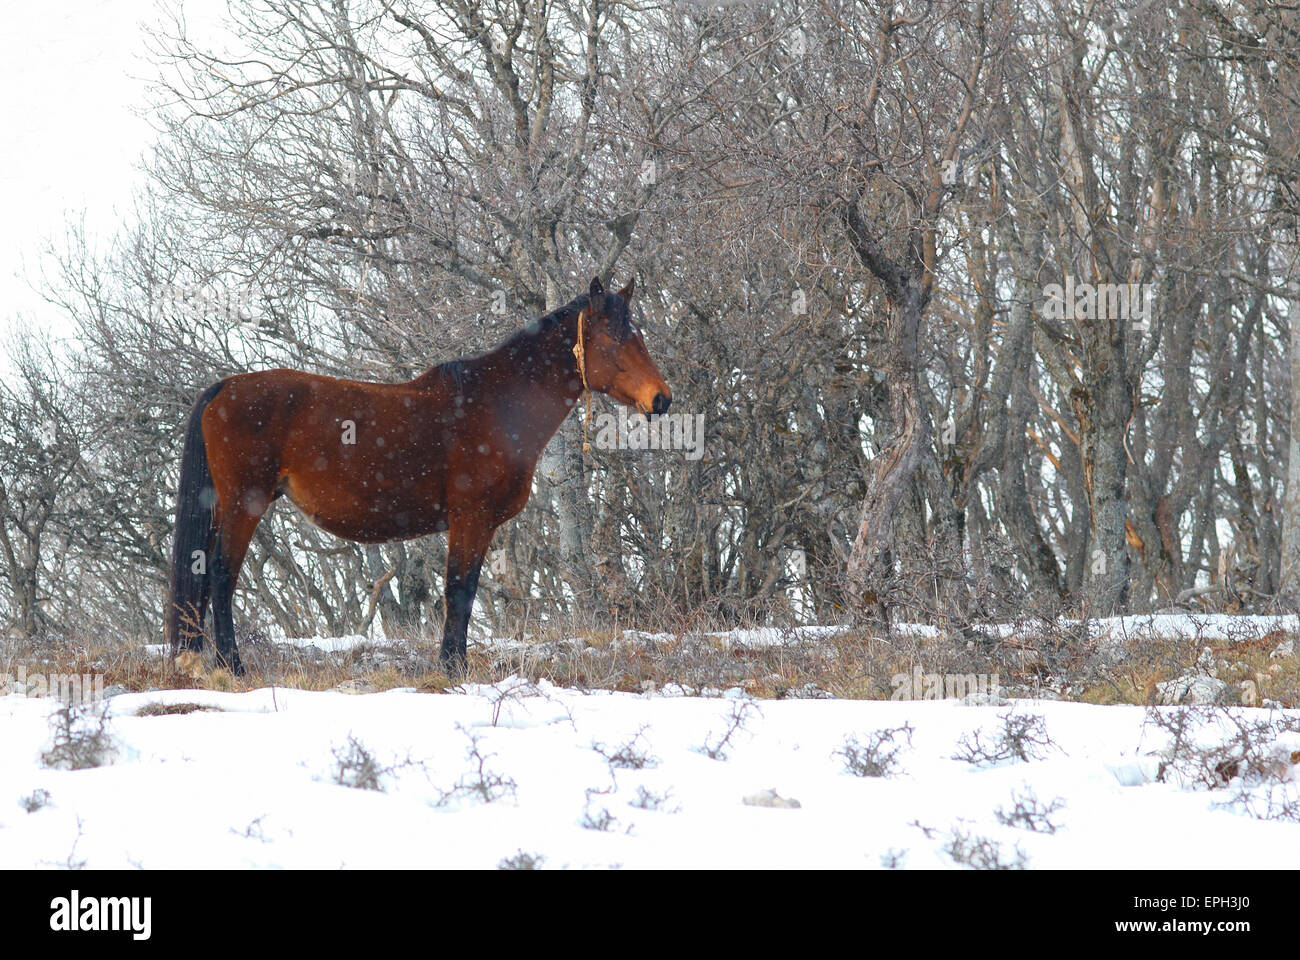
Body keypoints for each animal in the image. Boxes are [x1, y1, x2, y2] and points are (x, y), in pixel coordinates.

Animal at [164, 276, 671, 676]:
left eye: (639, 337)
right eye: (615, 339)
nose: (661, 399)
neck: (495, 406)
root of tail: (224, 388)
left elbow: (463, 592)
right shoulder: (471, 518)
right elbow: (460, 591)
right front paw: (452, 669)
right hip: (243, 504)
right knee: (222, 575)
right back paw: (232, 666)